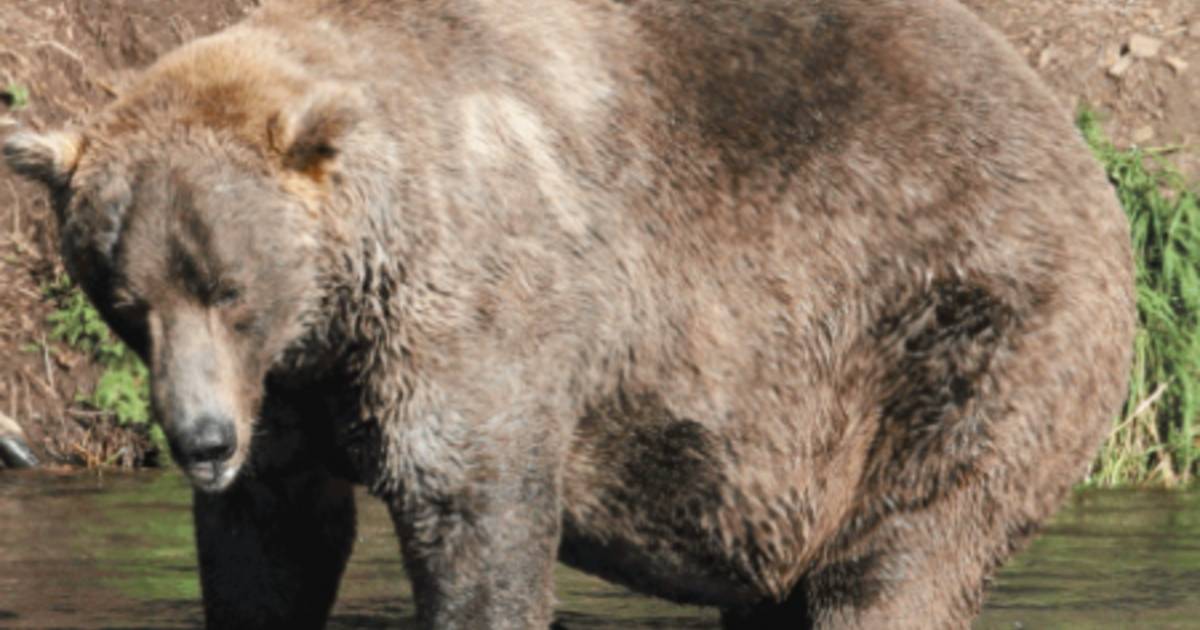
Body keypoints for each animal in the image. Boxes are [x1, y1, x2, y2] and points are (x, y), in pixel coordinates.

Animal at [4, 0, 1134, 628]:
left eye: (231, 288)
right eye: (128, 301)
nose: (200, 440)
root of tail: (1072, 138)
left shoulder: (477, 303)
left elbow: (474, 508)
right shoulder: (294, 387)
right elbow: (273, 539)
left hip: (957, 323)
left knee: (904, 548)